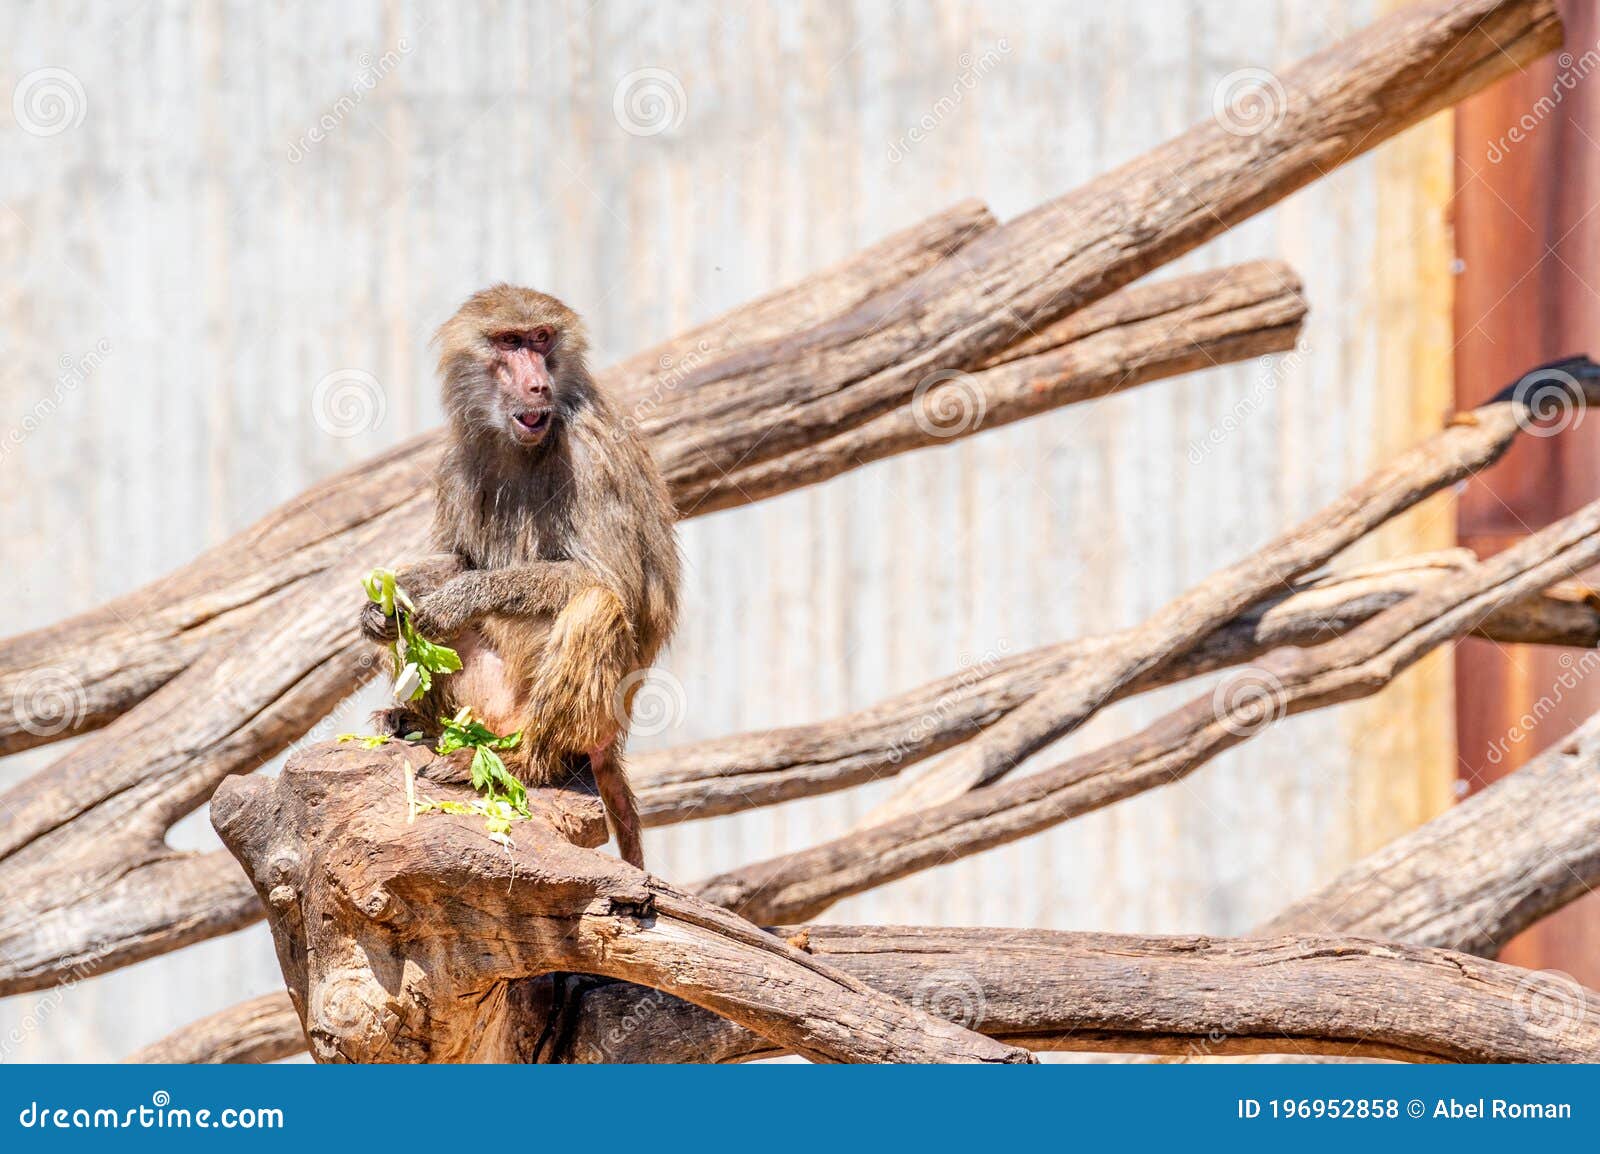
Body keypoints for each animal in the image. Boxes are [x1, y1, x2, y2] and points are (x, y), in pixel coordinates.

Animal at [360, 285, 679, 869]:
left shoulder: (590, 449)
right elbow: (455, 561)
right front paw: (384, 608)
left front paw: (459, 599)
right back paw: (419, 723)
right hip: (479, 704)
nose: (537, 385)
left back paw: (524, 762)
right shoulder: (458, 460)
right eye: (509, 342)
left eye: (542, 339)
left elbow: (612, 580)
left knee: (595, 606)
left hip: (588, 719)